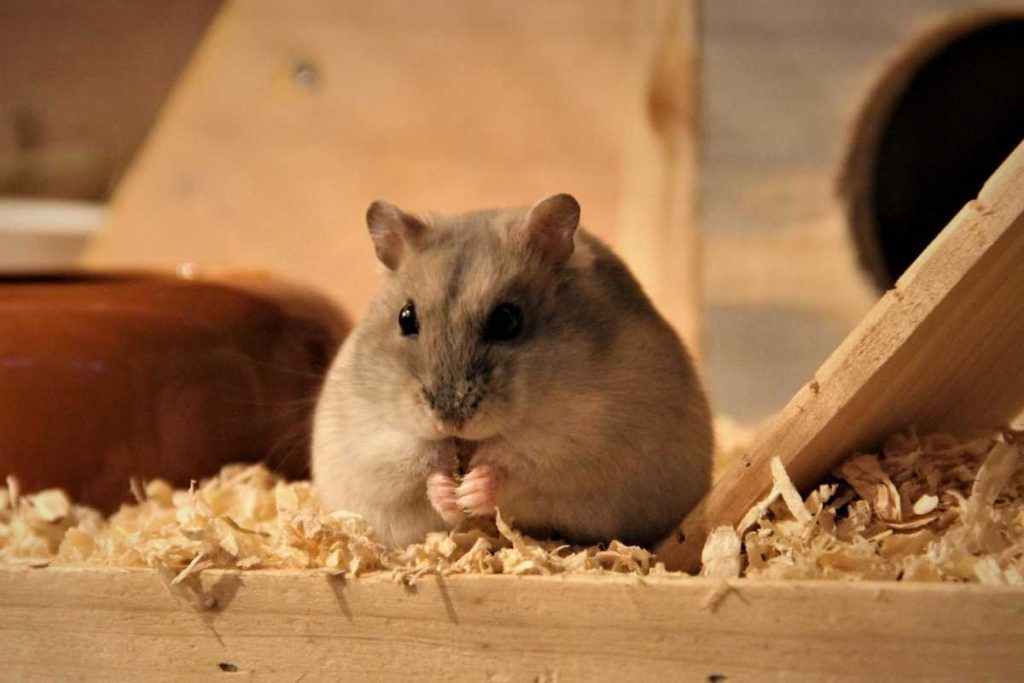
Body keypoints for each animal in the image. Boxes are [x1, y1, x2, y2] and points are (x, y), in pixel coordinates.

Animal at [312, 194, 712, 548]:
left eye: (507, 319)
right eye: (405, 317)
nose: (450, 420)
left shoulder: (583, 444)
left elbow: (517, 467)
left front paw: (471, 492)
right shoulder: (369, 443)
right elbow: (415, 469)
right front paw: (449, 492)